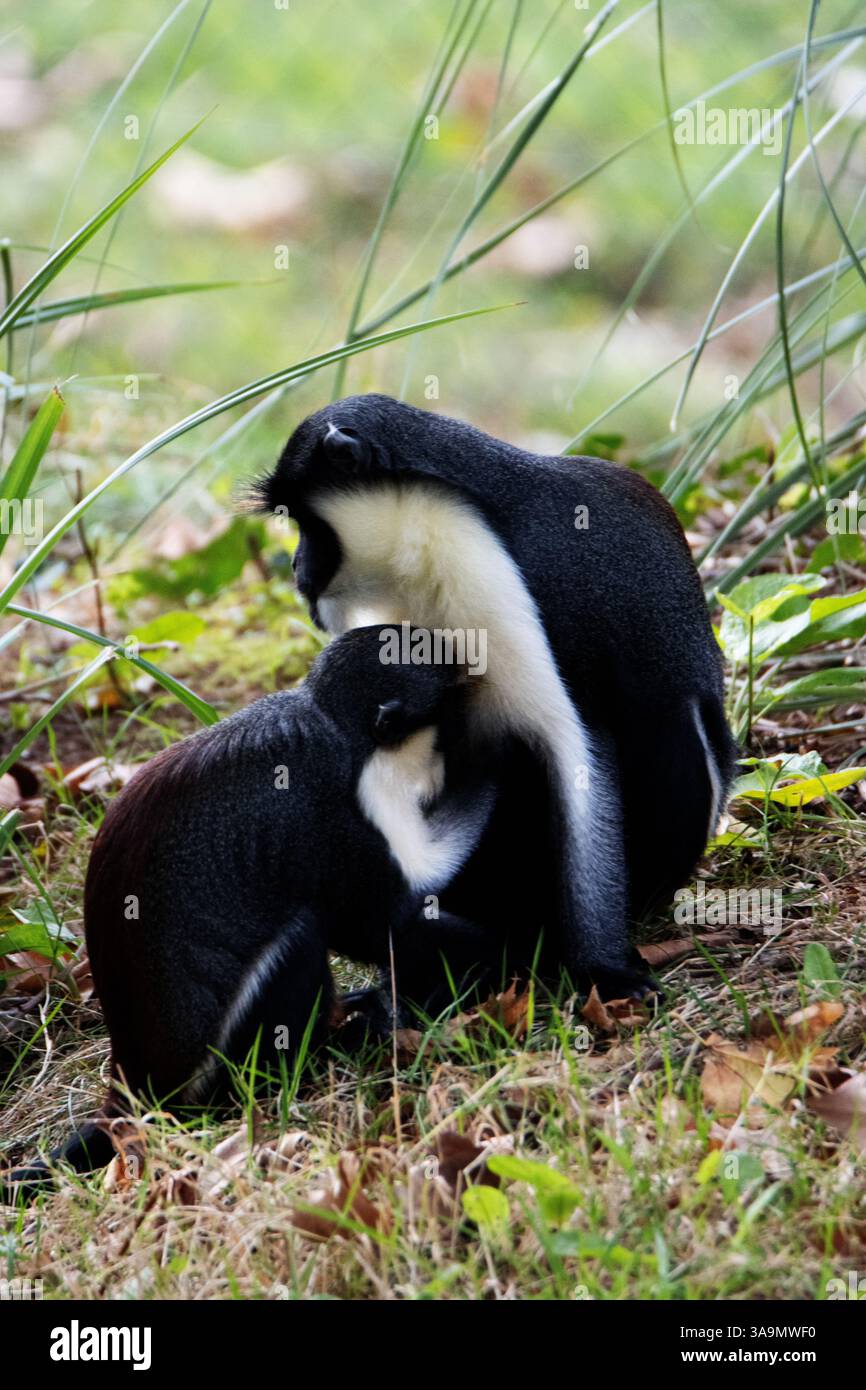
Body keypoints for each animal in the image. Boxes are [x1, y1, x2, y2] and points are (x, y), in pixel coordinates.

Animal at [0, 625, 509, 1201]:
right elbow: (374, 920)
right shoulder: (327, 810)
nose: (459, 753)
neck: (331, 721)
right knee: (299, 936)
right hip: (230, 1053)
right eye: (447, 721)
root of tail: (135, 1088)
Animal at [253, 393, 738, 1002]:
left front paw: (602, 970)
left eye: (303, 522)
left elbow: (574, 748)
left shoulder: (511, 579)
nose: (297, 567)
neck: (428, 524)